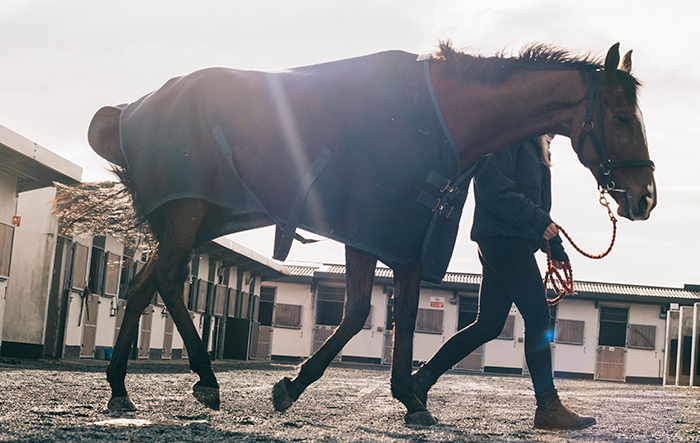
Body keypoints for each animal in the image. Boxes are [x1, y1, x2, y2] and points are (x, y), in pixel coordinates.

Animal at [86, 41, 655, 425]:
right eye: (622, 117)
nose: (645, 197)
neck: (440, 120)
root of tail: (131, 109)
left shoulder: (398, 237)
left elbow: (384, 313)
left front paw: (405, 394)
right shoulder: (374, 230)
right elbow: (367, 311)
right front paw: (302, 386)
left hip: (198, 217)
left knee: (148, 282)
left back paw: (129, 387)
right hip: (187, 212)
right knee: (162, 279)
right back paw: (195, 380)